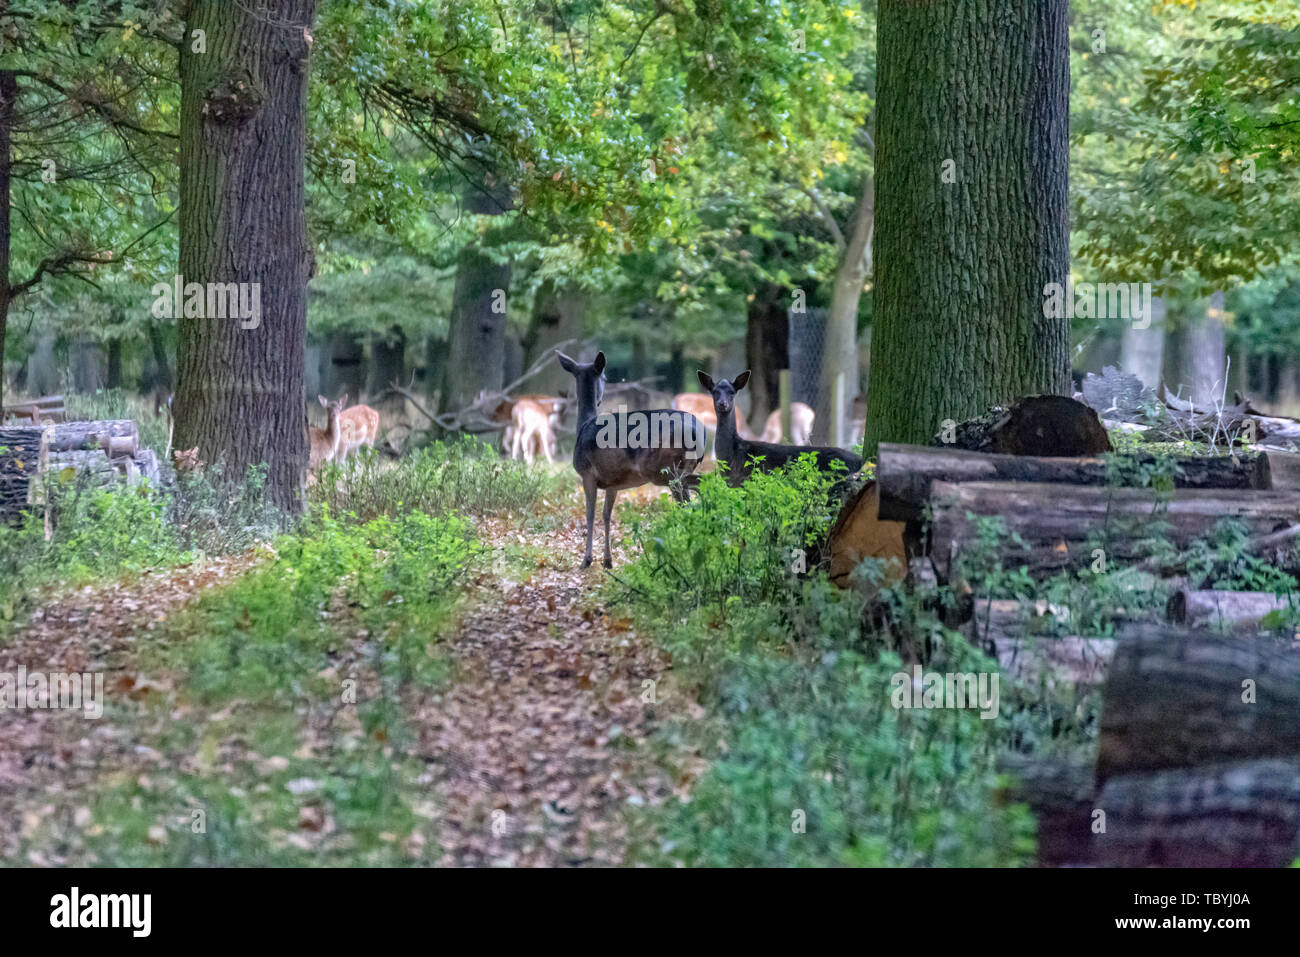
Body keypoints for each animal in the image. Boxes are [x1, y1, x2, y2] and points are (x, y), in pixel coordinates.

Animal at [557, 349, 706, 568]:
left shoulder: (586, 473)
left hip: (664, 469)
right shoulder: (612, 483)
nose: (600, 400)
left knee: (689, 497)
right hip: (679, 469)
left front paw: (587, 560)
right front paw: (607, 560)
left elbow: (590, 513)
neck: (583, 426)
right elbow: (607, 514)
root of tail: (698, 432)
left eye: (605, 377)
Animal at [699, 371, 863, 486]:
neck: (732, 455)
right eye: (714, 392)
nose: (722, 404)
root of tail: (862, 460)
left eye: (732, 392)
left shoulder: (744, 480)